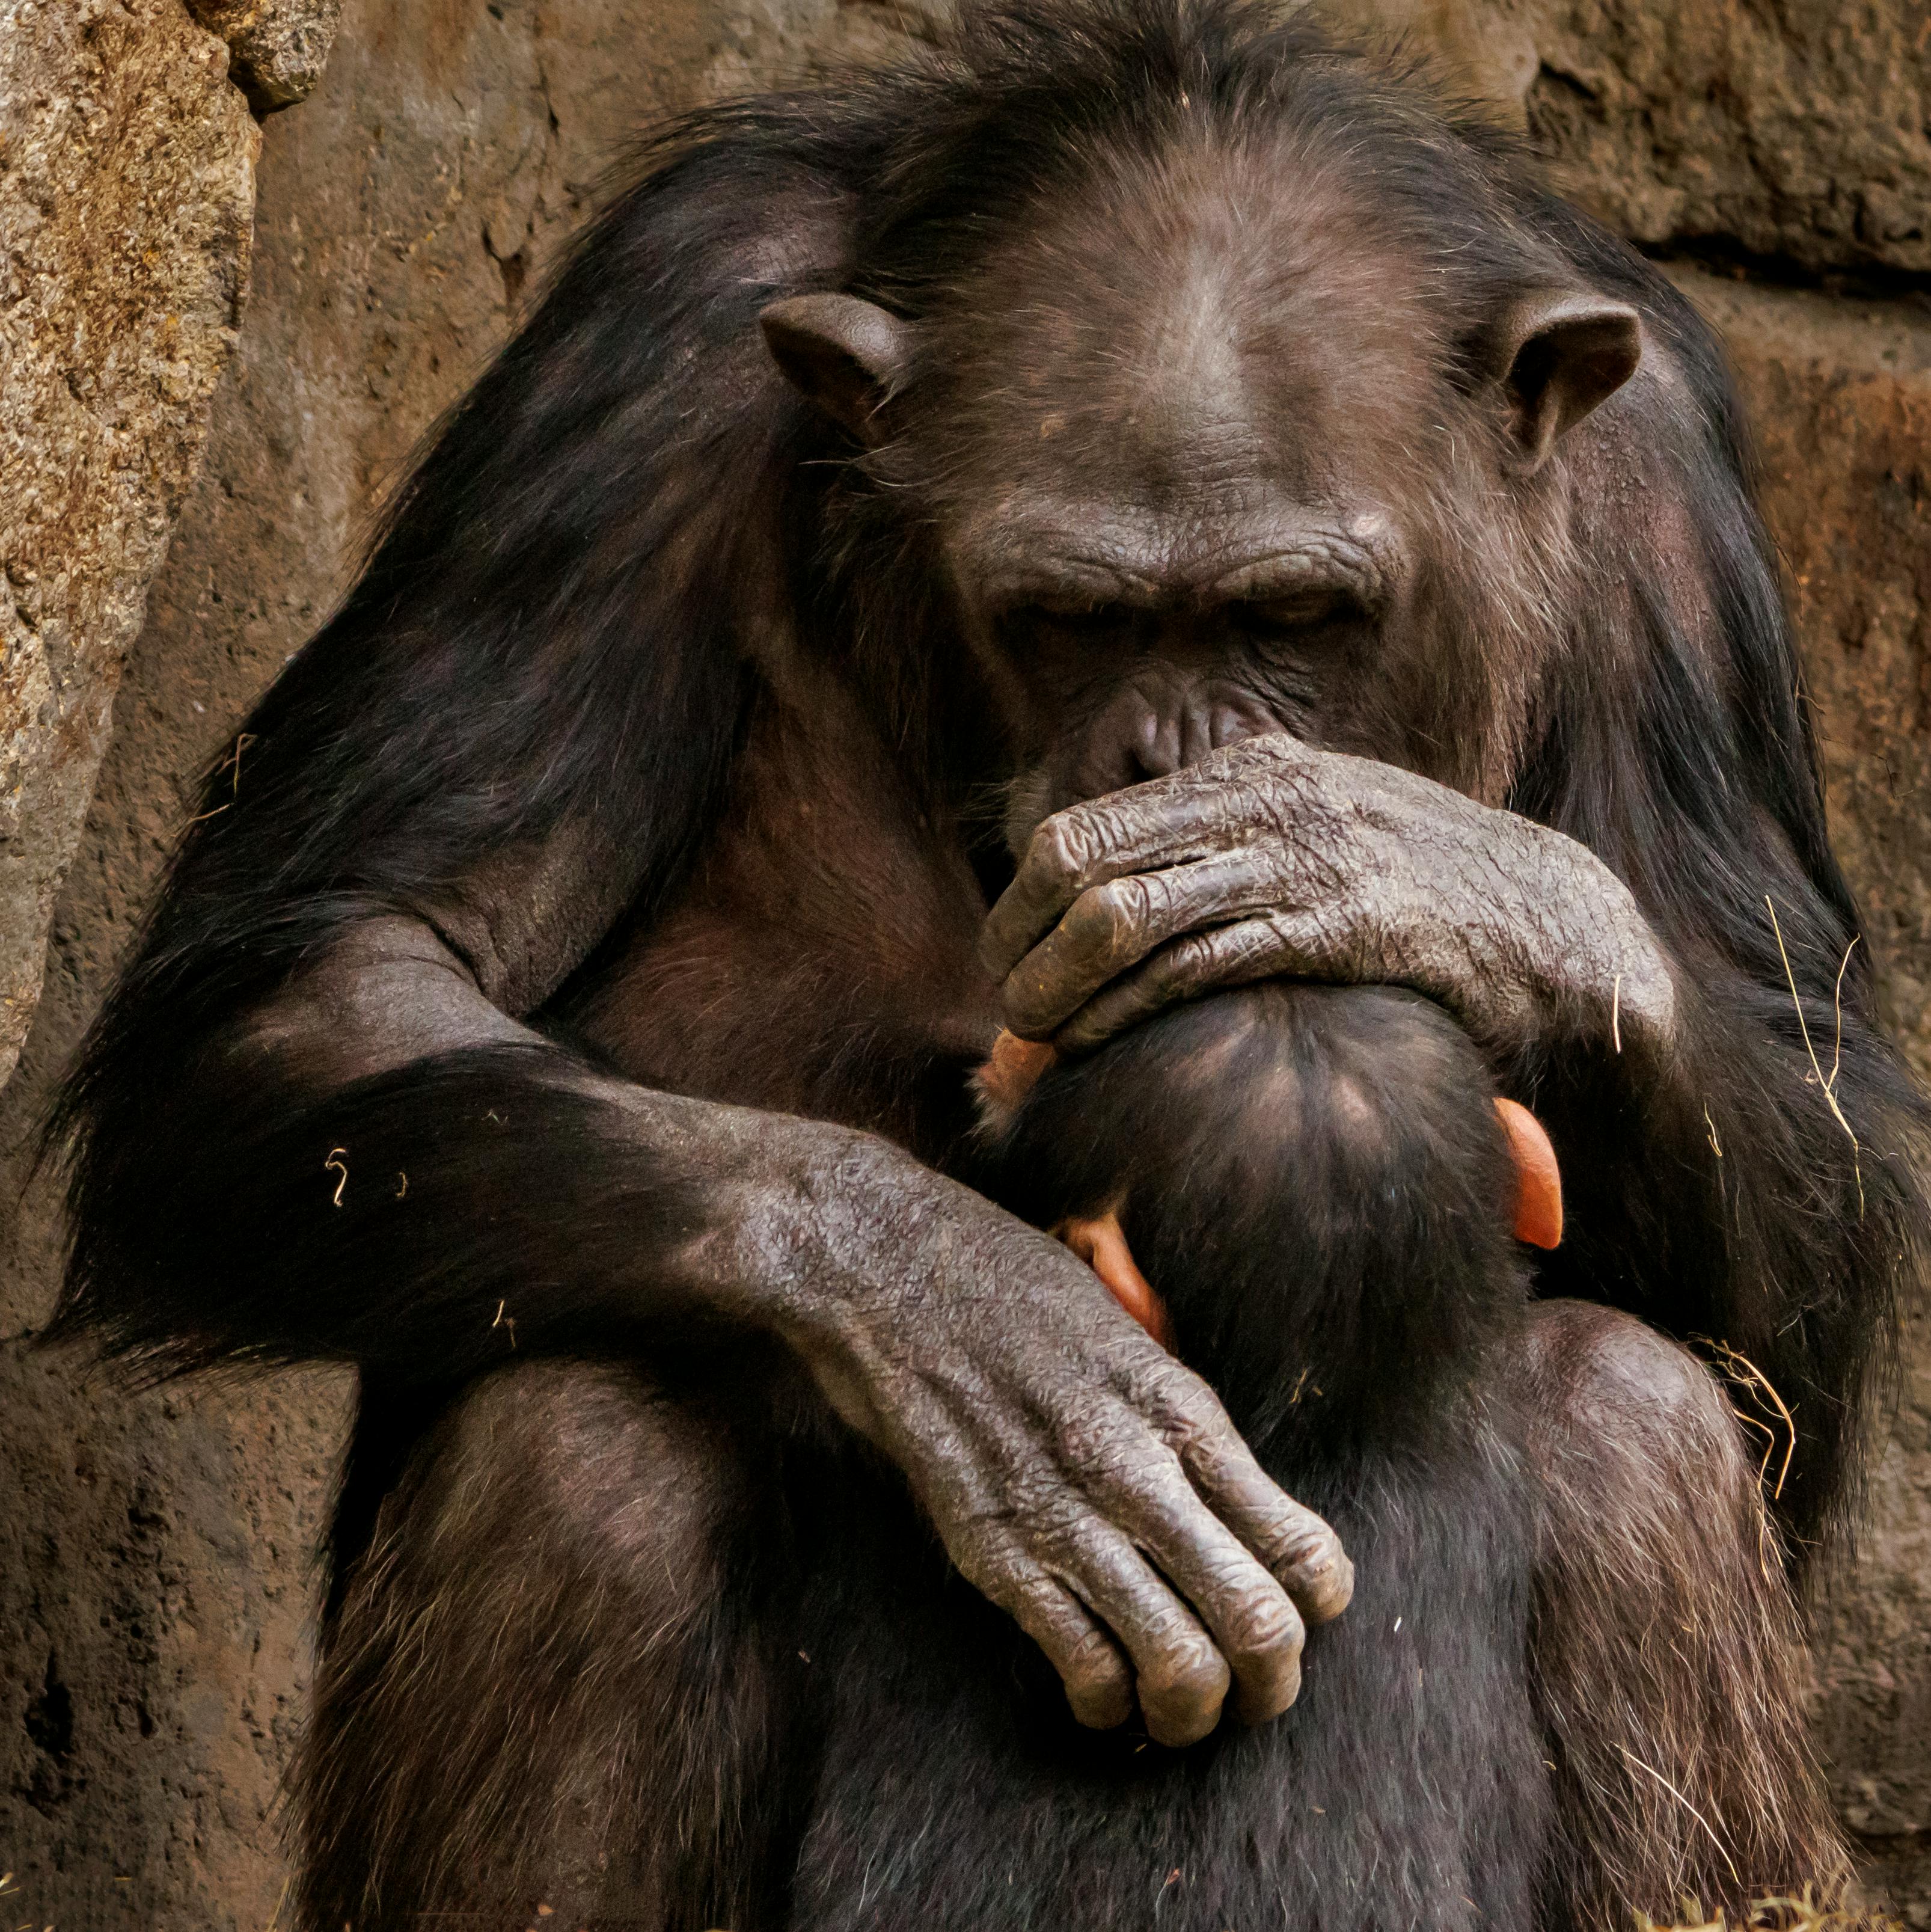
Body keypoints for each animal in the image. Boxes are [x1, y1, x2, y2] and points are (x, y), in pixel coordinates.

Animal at [47, 3, 1927, 1926]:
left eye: (1296, 613)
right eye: (1067, 618)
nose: (1174, 747)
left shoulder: (1667, 508)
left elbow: (1795, 1217)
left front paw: (1415, 873)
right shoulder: (630, 372)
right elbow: (339, 969)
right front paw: (969, 1328)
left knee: (1645, 1432)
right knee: (572, 1449)